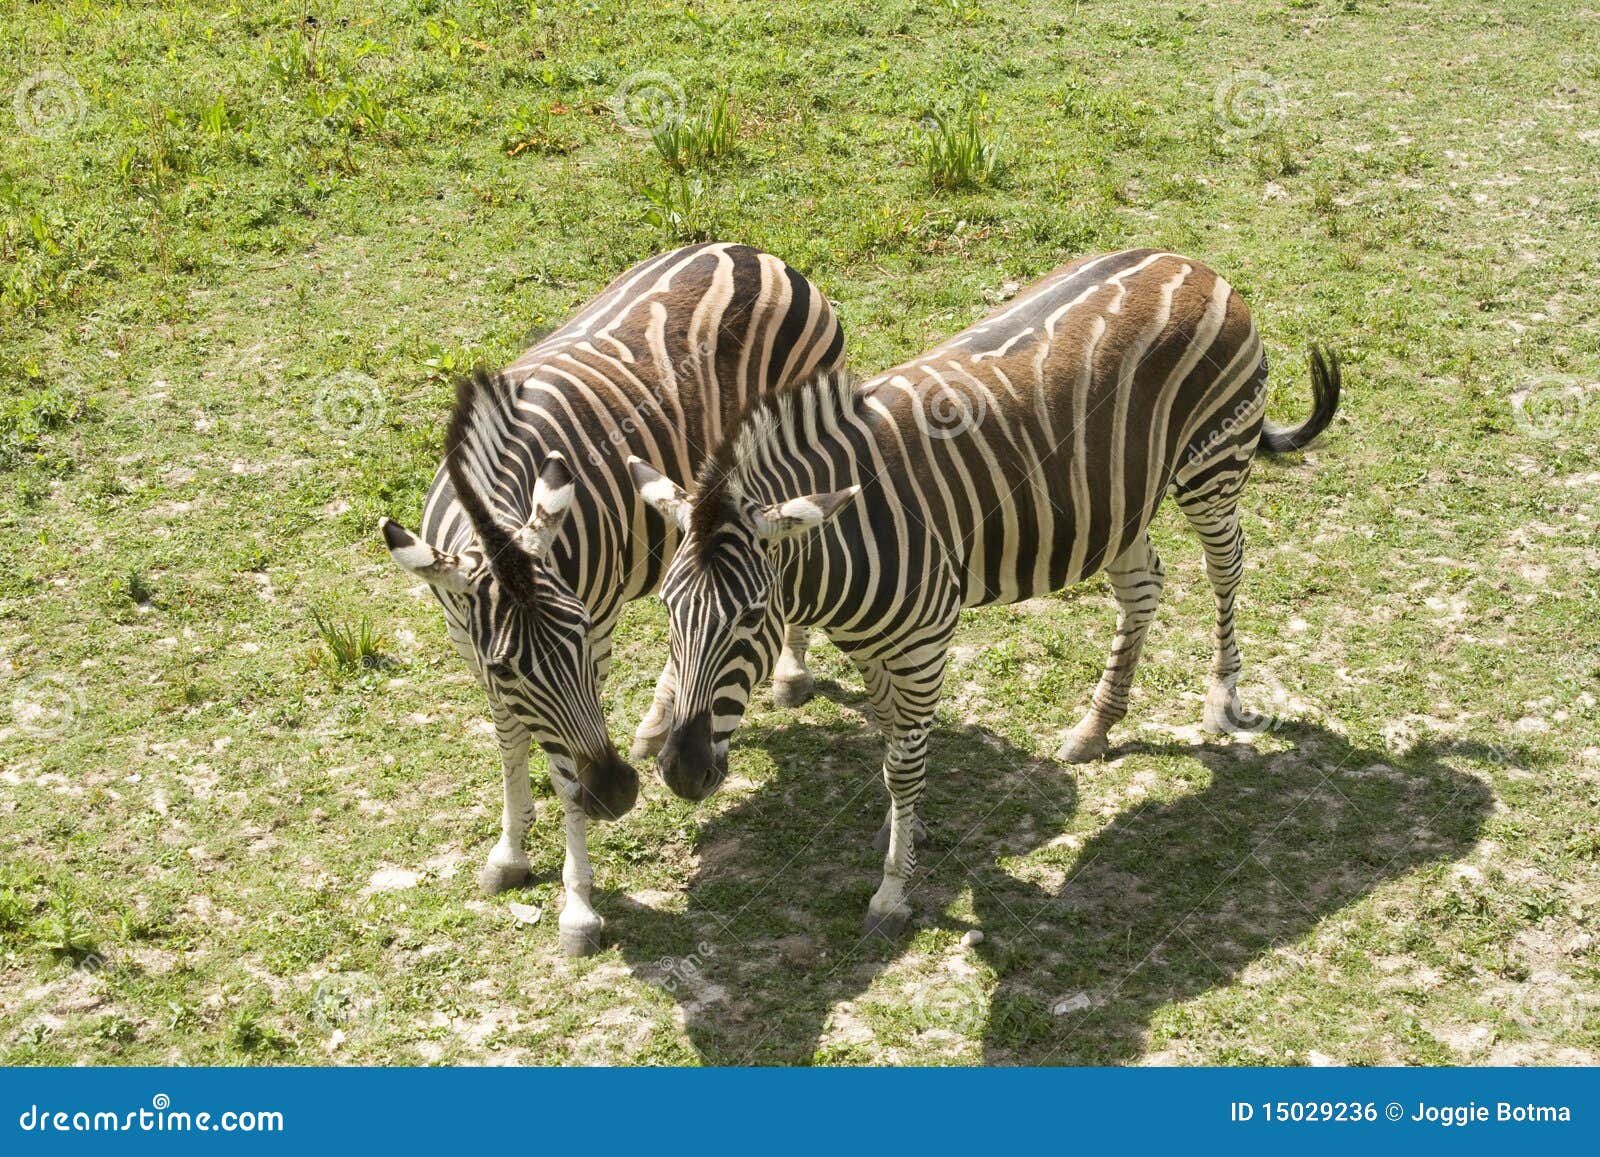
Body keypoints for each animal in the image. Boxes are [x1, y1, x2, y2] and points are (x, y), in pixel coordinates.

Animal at [379, 242, 843, 955]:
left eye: (575, 637)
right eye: (507, 669)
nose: (620, 792)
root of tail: (744, 250)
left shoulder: (596, 627)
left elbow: (565, 772)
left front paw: (577, 905)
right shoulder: (473, 648)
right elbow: (512, 747)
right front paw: (510, 852)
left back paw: (789, 672)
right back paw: (658, 724)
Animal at [627, 248, 1340, 939]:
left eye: (751, 619)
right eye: (667, 611)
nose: (681, 772)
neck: (834, 557)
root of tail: (1190, 263)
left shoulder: (924, 642)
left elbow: (903, 763)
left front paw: (893, 891)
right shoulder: (866, 640)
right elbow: (890, 735)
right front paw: (905, 830)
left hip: (1210, 466)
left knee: (1227, 568)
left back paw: (1222, 697)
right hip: (1119, 503)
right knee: (1143, 588)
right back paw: (1096, 727)